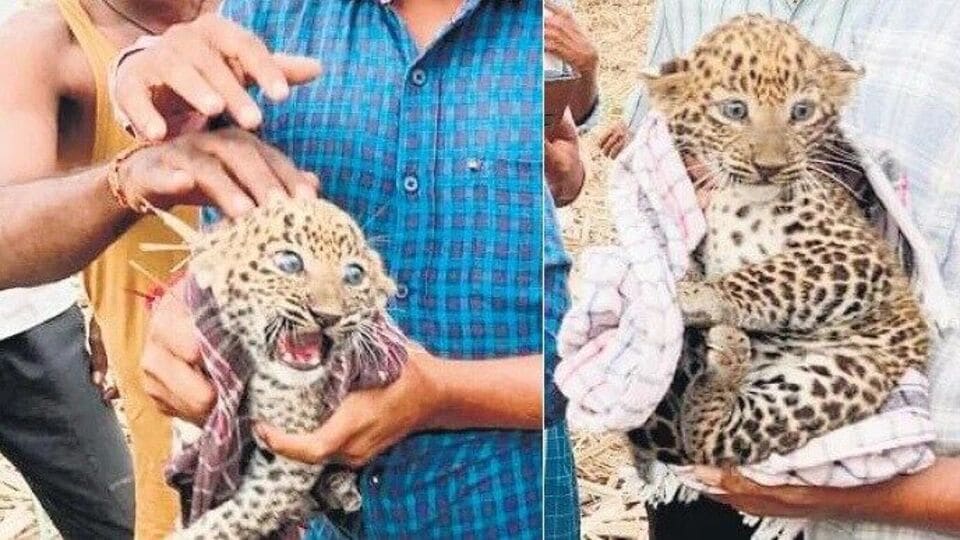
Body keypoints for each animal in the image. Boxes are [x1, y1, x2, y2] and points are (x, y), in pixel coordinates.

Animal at [627, 14, 929, 467]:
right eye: (735, 110)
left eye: (801, 112)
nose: (769, 167)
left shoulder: (853, 252)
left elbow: (774, 275)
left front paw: (698, 295)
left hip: (844, 375)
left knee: (714, 443)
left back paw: (726, 356)